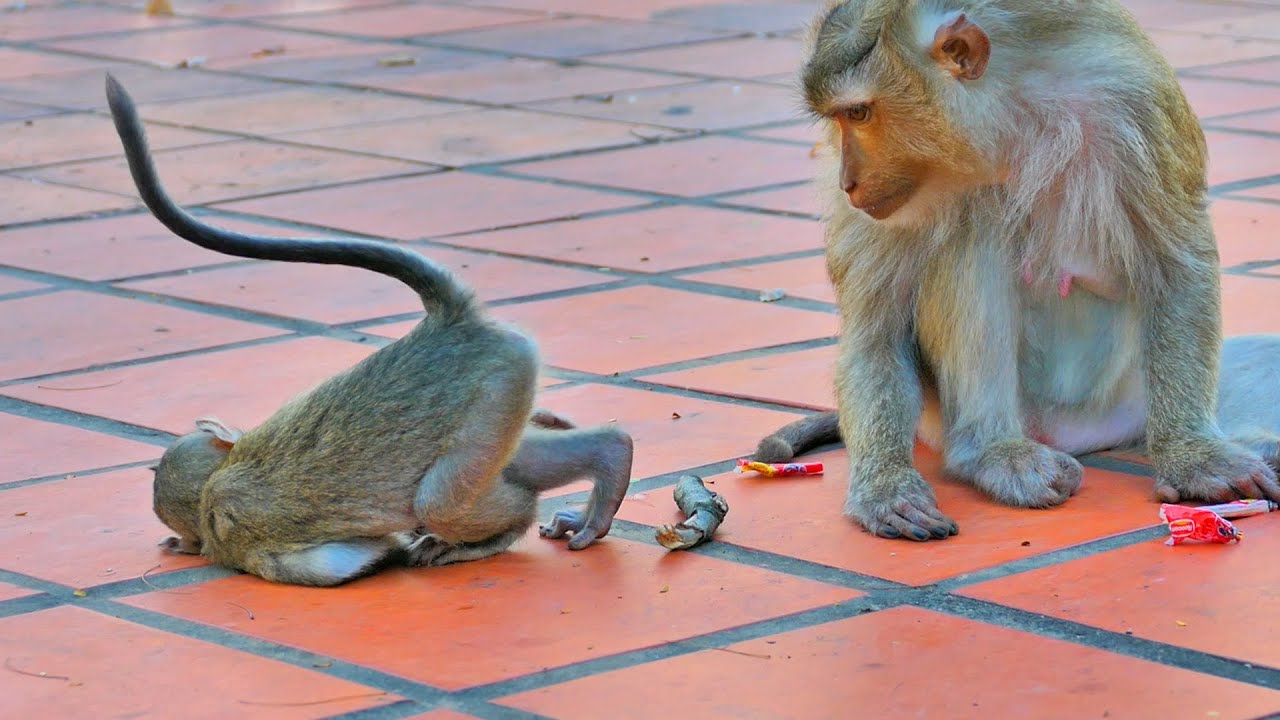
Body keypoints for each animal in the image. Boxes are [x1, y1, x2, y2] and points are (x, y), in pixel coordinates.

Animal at [104, 73, 634, 585]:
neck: (213, 486)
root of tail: (447, 322)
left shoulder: (242, 543)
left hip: (495, 382)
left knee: (440, 503)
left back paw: (502, 527)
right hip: (500, 388)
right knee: (501, 461)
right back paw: (611, 456)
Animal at [749, 1, 1280, 542]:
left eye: (858, 113)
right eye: (840, 119)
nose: (848, 181)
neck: (1010, 123)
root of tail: (1075, 434)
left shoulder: (1136, 102)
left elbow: (1175, 261)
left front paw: (1193, 456)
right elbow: (876, 333)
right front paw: (886, 486)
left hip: (1127, 398)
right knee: (975, 234)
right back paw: (990, 451)